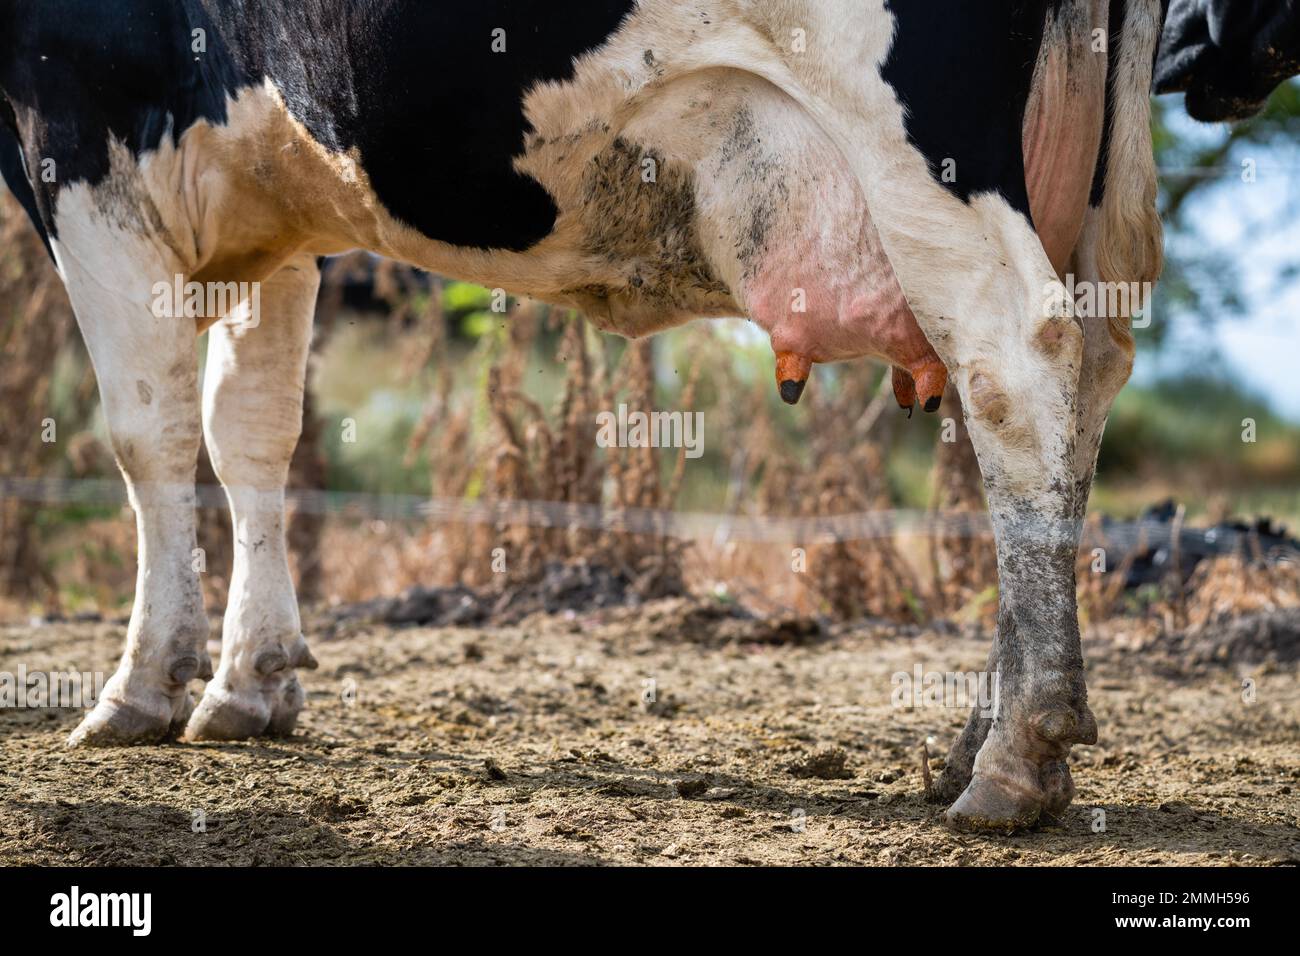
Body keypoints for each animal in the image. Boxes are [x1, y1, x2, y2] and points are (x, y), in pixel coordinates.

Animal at [0, 0, 1167, 833]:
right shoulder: (274, 200)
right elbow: (248, 428)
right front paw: (249, 682)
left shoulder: (70, 126)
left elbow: (146, 432)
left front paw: (142, 684)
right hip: (1084, 184)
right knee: (1084, 379)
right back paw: (975, 740)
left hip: (920, 150)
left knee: (1017, 366)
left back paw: (1019, 754)